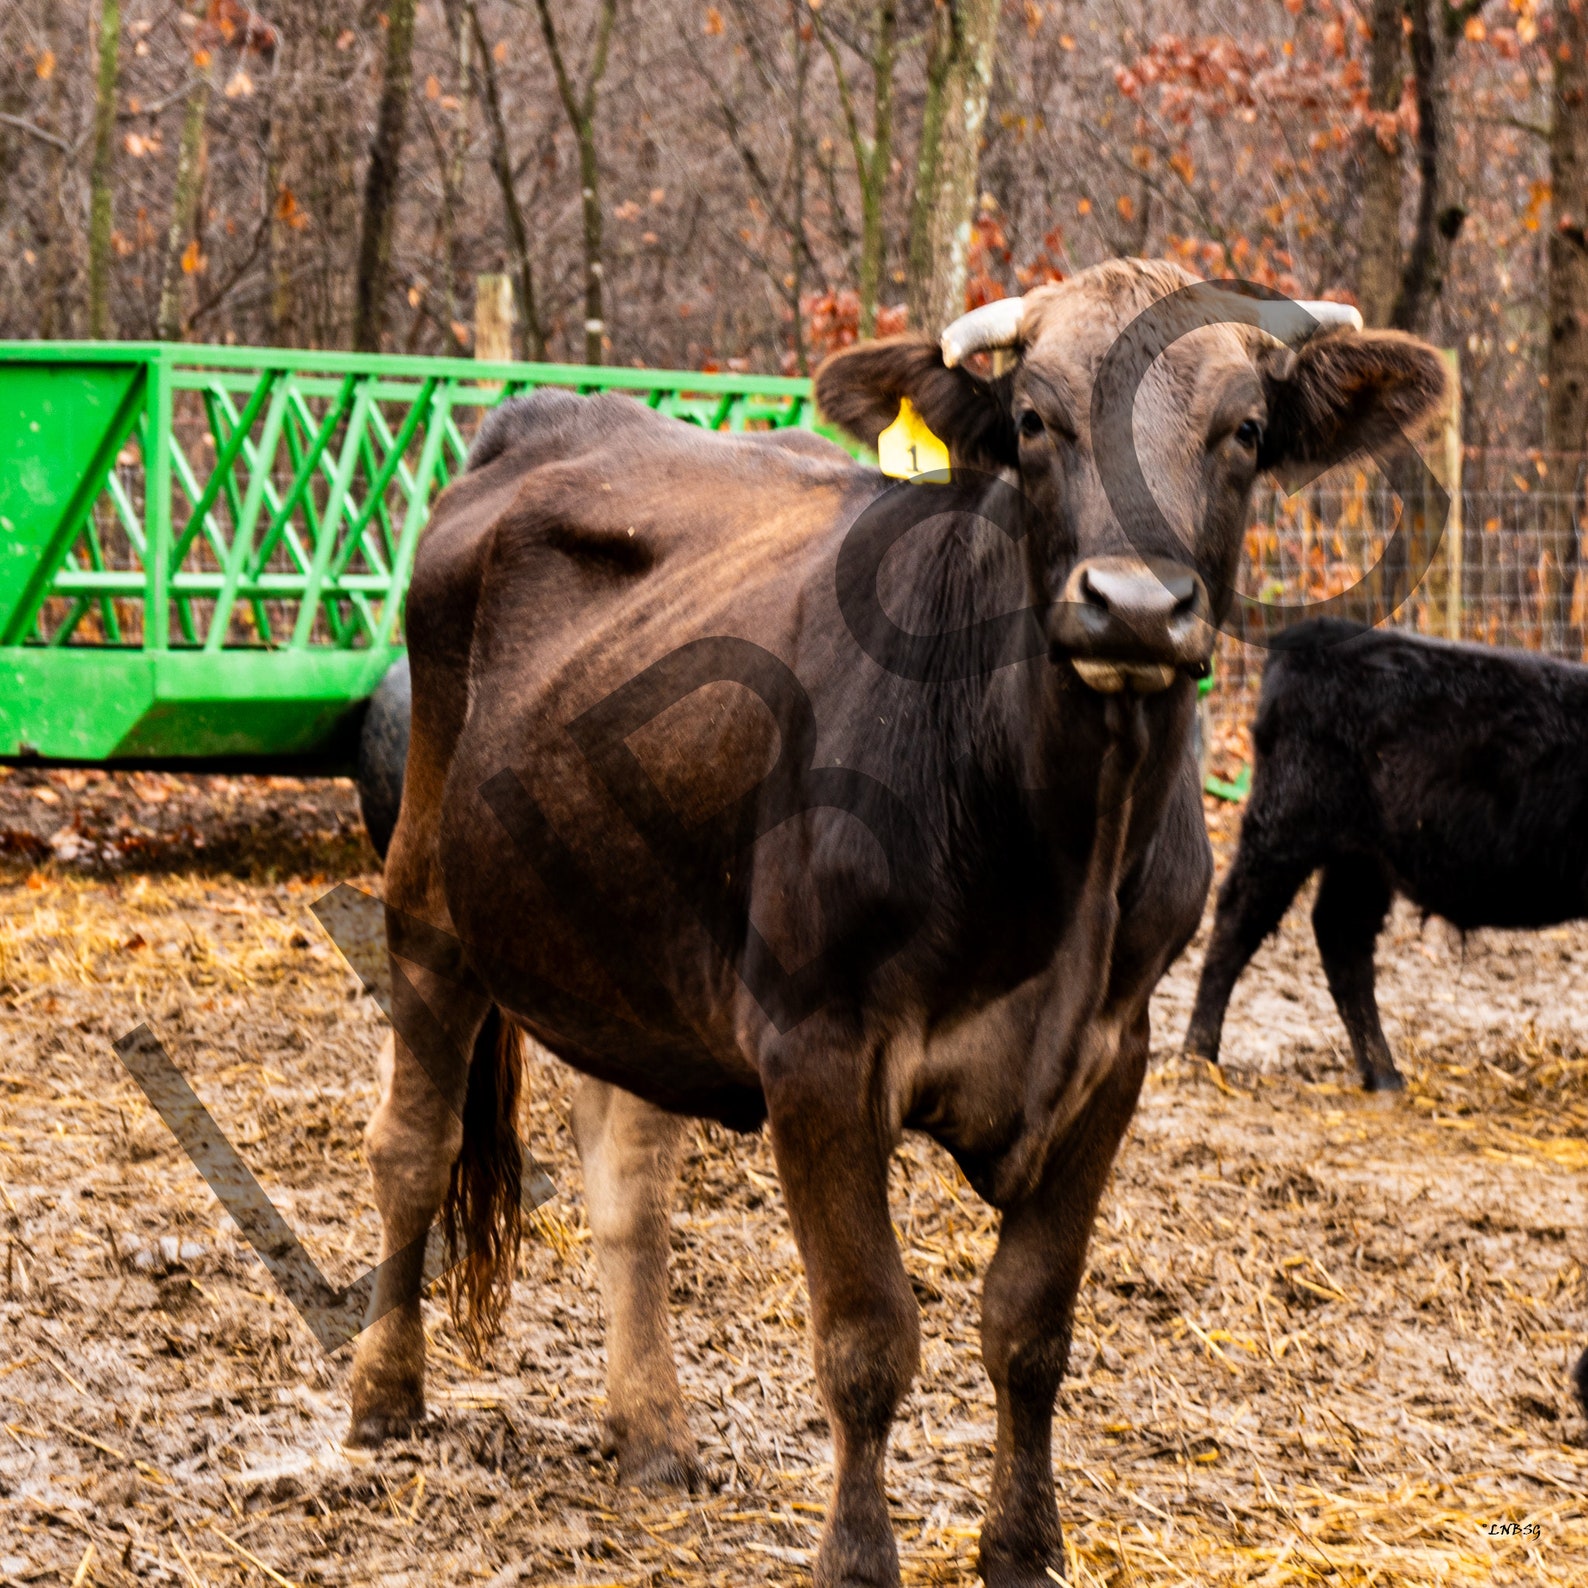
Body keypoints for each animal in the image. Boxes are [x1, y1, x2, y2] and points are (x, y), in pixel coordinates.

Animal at [344, 258, 1447, 1588]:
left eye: (1243, 429)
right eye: (1033, 419)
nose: (1133, 606)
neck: (1062, 849)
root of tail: (549, 415)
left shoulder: (1112, 1058)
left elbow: (1029, 1323)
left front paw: (1023, 1545)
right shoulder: (816, 1049)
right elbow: (868, 1334)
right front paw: (860, 1555)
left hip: (629, 954)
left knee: (628, 1188)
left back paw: (652, 1431)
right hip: (427, 895)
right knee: (411, 1146)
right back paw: (383, 1396)